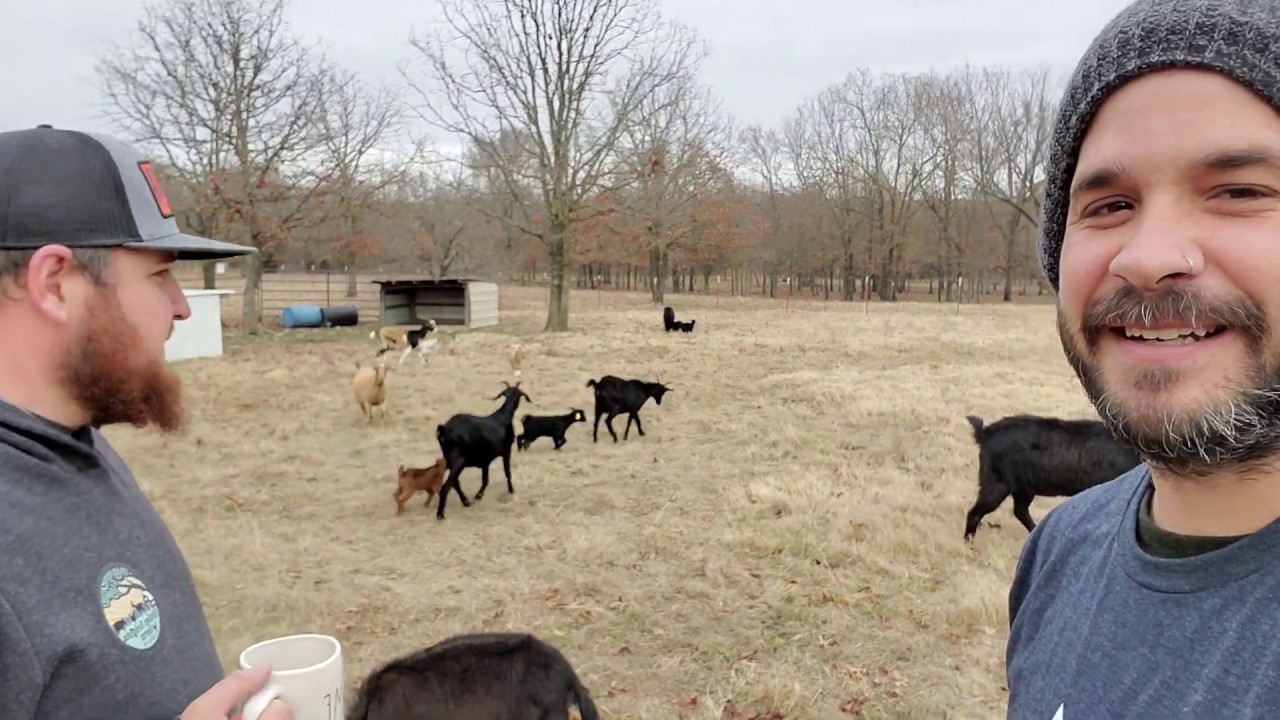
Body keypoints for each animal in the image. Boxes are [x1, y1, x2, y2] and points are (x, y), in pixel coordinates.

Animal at [433, 382, 532, 520]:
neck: (503, 417)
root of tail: (444, 430)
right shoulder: (506, 452)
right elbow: (507, 472)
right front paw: (511, 490)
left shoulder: (485, 460)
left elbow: (485, 479)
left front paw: (478, 495)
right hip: (458, 461)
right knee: (447, 485)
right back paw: (441, 514)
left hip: (448, 459)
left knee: (454, 482)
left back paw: (466, 501)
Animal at [962, 413, 1142, 540]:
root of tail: (985, 433)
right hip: (999, 483)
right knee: (975, 512)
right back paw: (969, 542)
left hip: (1024, 487)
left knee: (1020, 510)